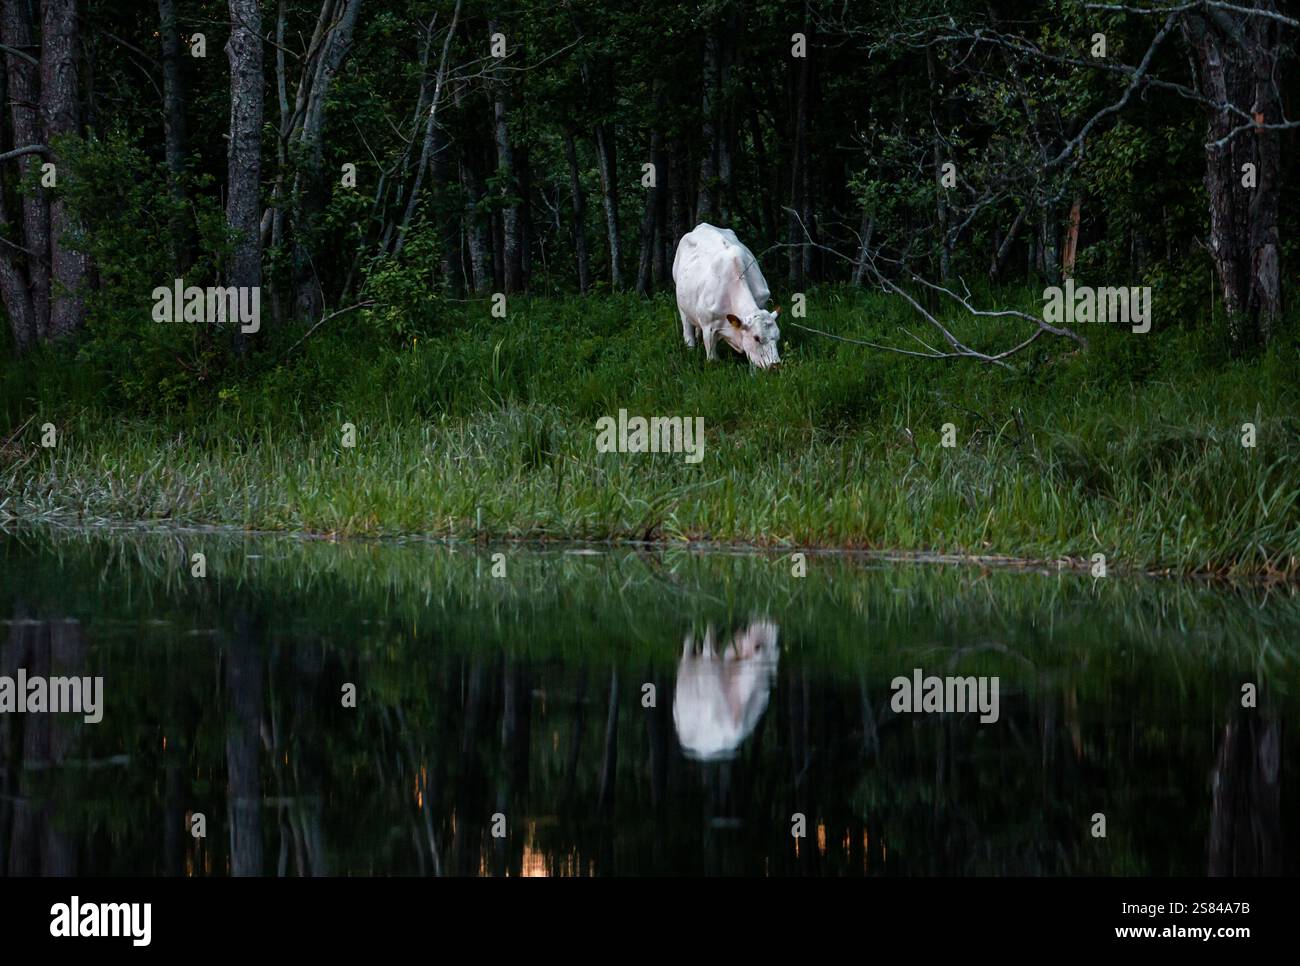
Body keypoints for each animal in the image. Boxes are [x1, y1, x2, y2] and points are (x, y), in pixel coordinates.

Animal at [672, 223, 781, 369]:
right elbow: (712, 359)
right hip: (681, 304)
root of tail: (702, 226)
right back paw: (690, 347)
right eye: (756, 338)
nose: (775, 366)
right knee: (687, 328)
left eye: (777, 337)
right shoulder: (708, 326)